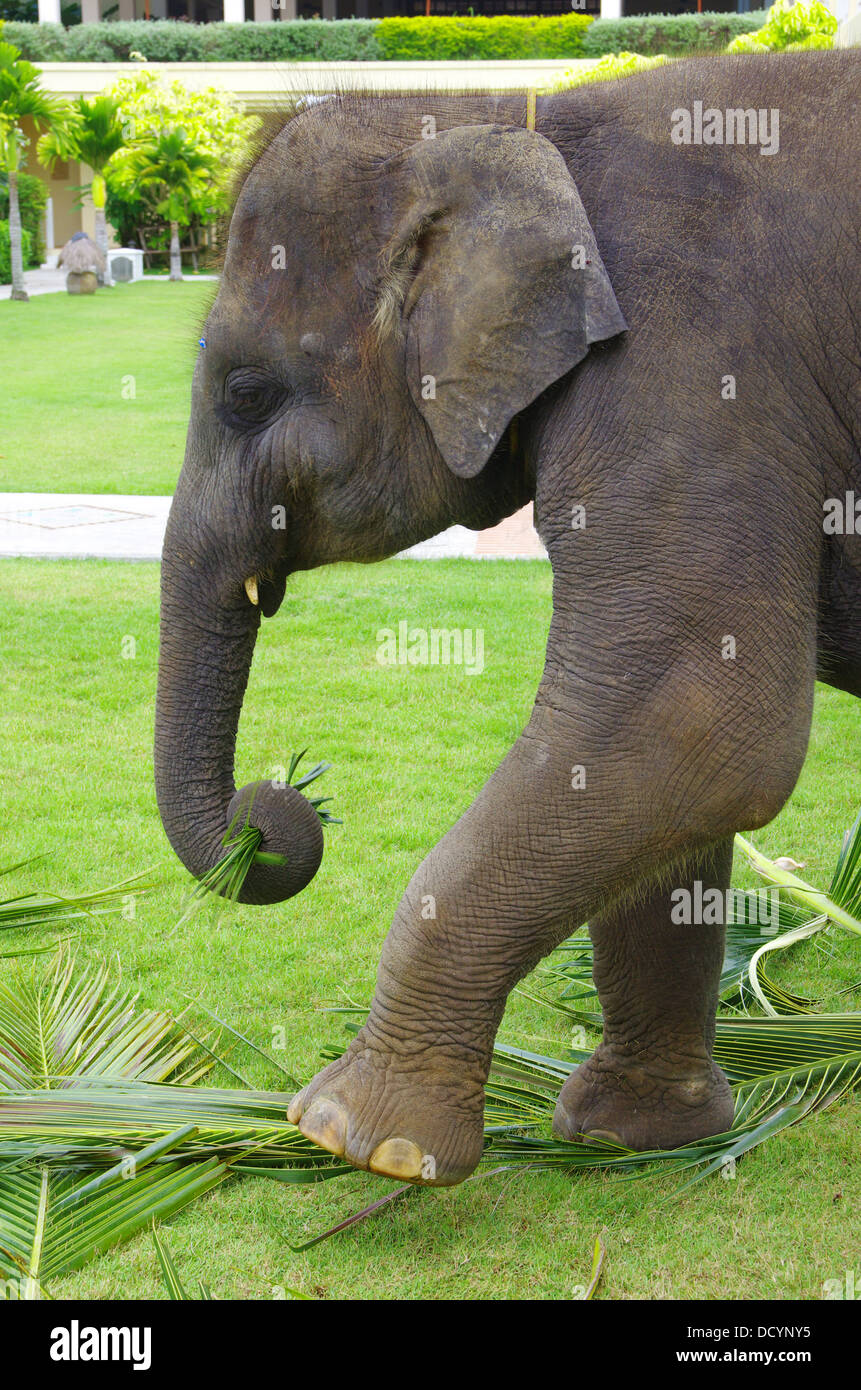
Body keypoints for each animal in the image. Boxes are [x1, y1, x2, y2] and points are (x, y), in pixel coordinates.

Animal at [155, 52, 860, 1186]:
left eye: (246, 391)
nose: (271, 817)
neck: (518, 122)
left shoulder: (697, 373)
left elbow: (697, 726)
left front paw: (356, 1138)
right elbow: (666, 767)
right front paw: (626, 1132)